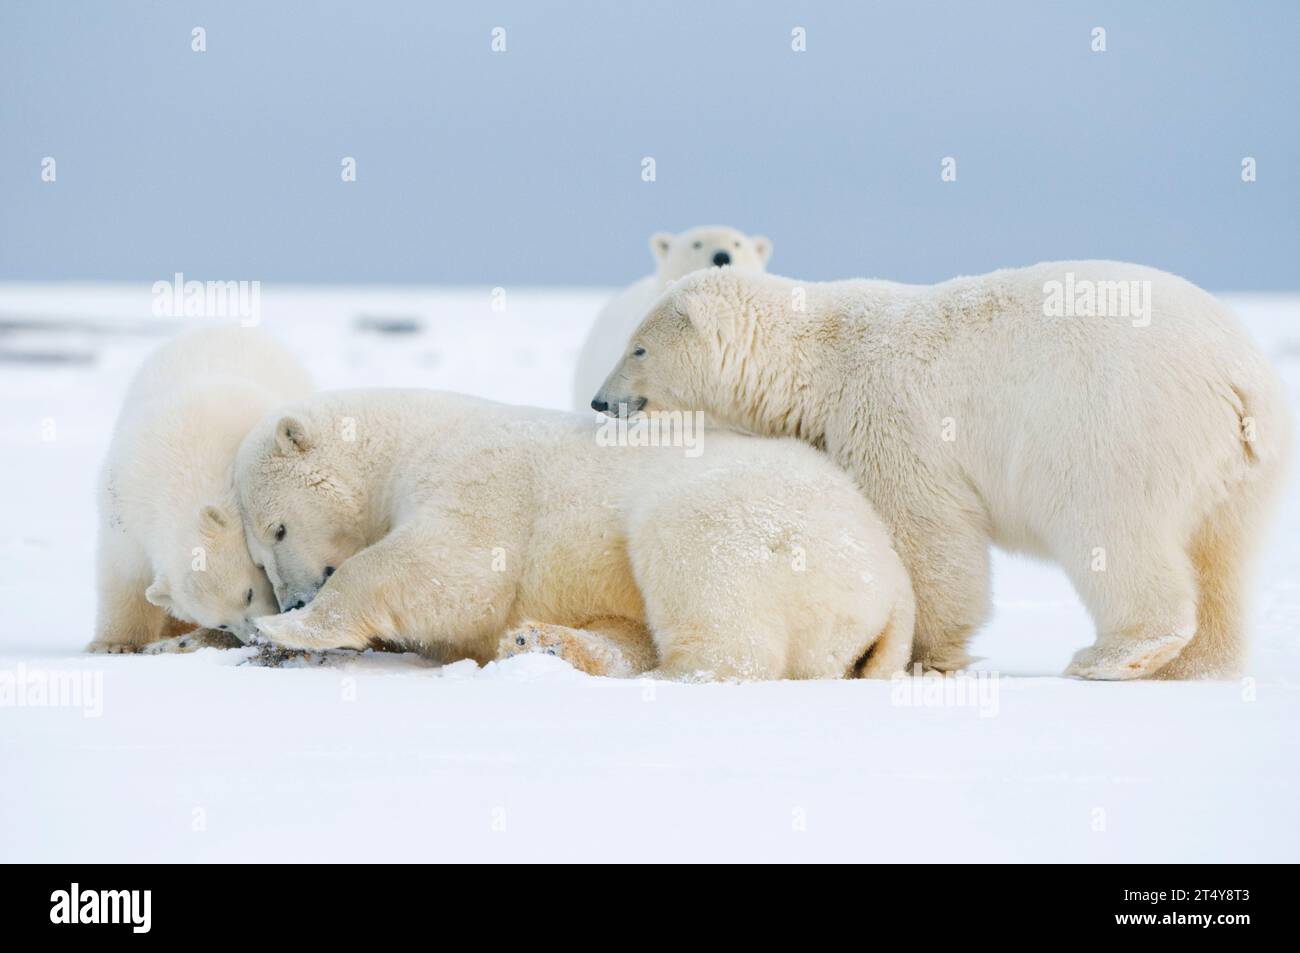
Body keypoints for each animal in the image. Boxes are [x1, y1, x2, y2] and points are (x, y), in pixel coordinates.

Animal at [89, 326, 314, 652]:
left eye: (248, 593)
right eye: (221, 622)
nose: (252, 636)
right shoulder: (128, 511)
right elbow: (125, 574)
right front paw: (113, 644)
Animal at [232, 388, 913, 681]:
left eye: (278, 529)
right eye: (259, 557)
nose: (290, 600)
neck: (409, 439)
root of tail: (892, 575)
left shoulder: (482, 473)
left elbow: (459, 569)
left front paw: (286, 631)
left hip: (758, 524)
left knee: (706, 583)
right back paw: (541, 643)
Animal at [591, 261, 1294, 680]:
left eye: (638, 348)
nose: (601, 400)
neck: (818, 356)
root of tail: (1237, 377)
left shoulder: (889, 411)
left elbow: (925, 534)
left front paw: (923, 658)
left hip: (1119, 428)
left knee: (1111, 532)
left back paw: (1114, 655)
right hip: (1246, 464)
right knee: (1224, 553)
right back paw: (1198, 667)